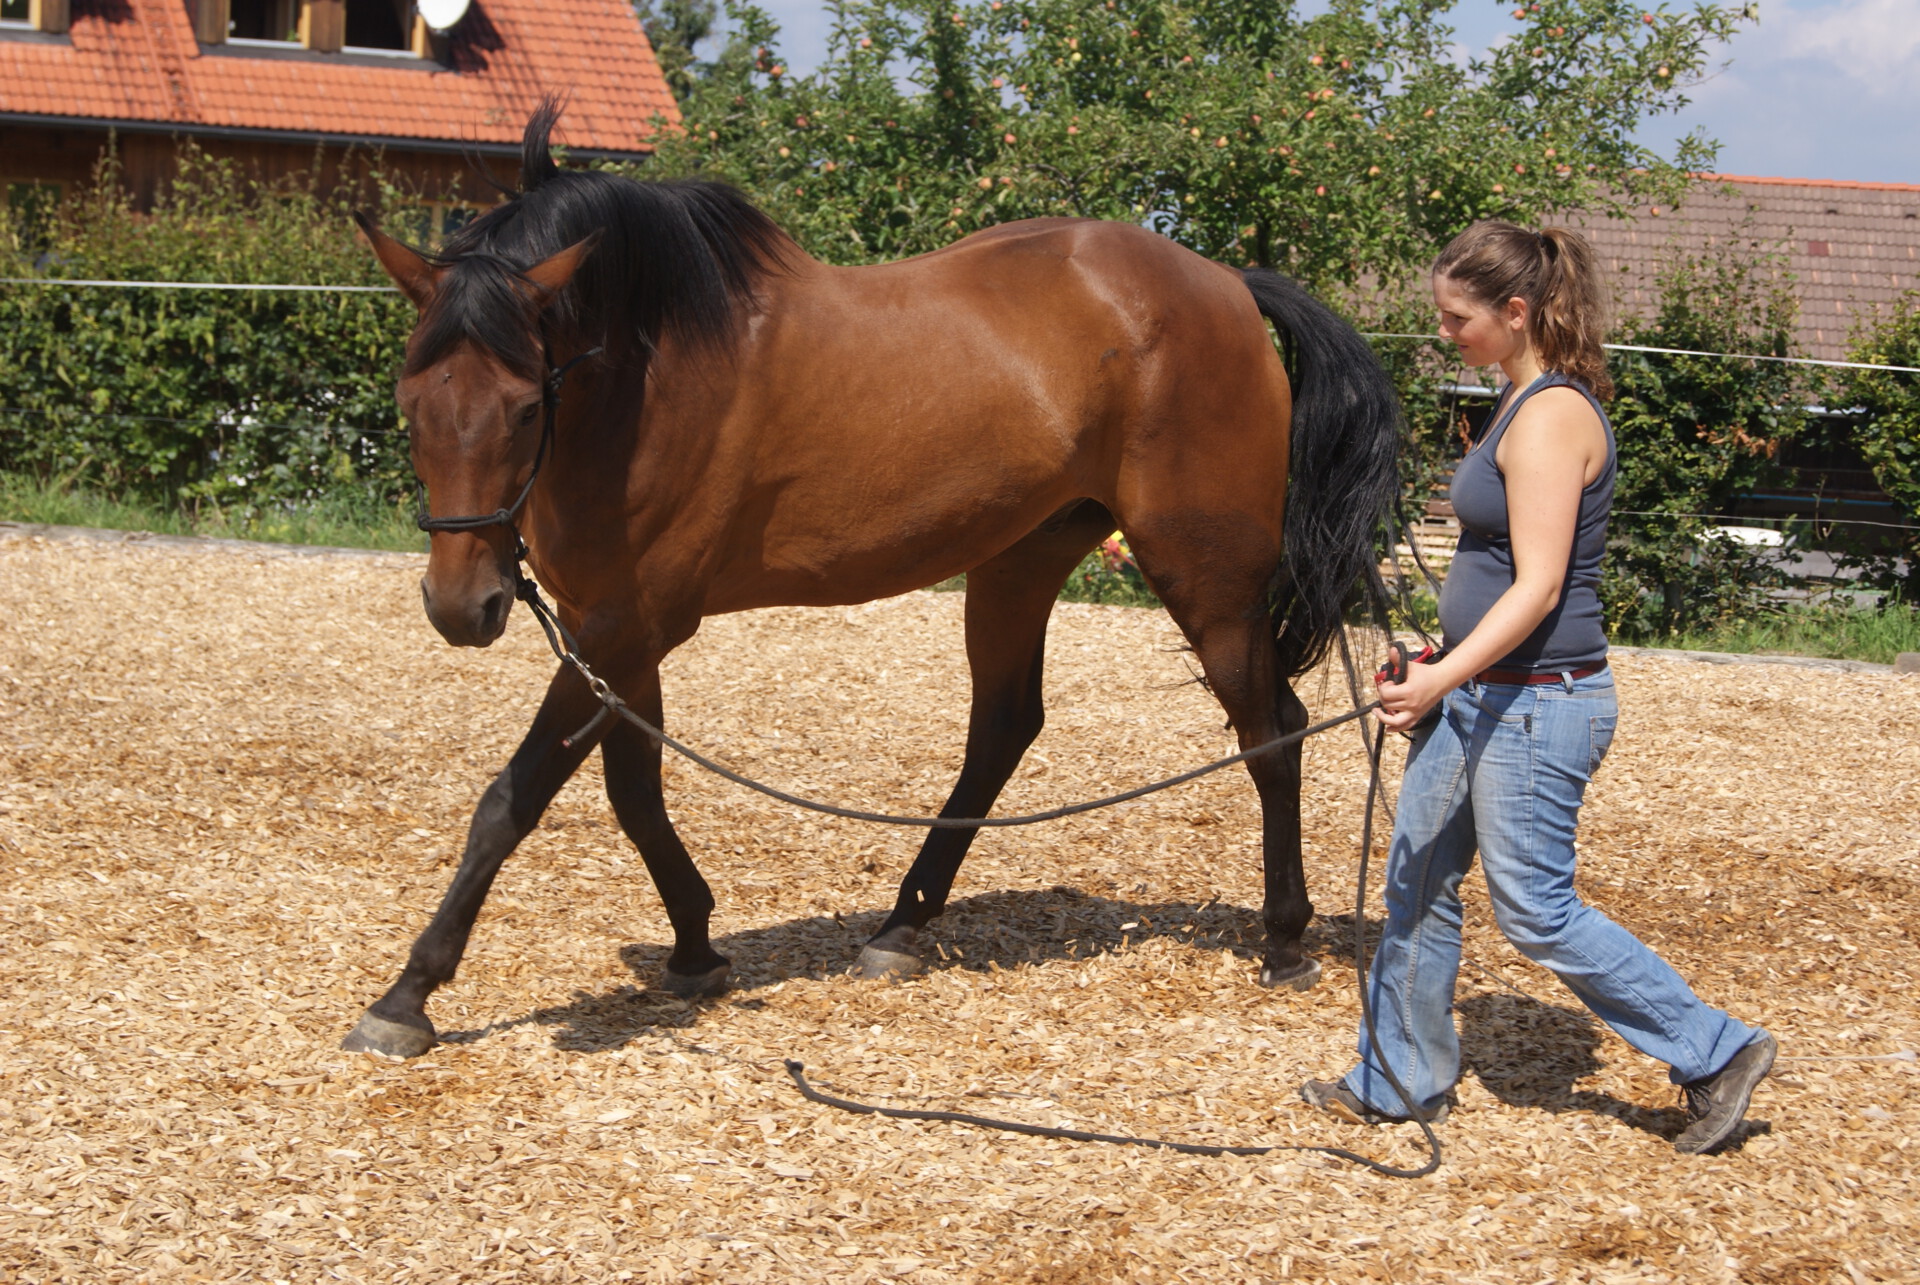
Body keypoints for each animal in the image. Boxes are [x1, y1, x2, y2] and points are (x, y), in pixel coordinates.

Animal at [340, 104, 1402, 1059]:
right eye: (410, 399)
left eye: (526, 405)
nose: (461, 605)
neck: (649, 375)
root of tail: (1227, 284)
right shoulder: (616, 633)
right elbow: (633, 791)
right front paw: (694, 944)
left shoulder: (621, 628)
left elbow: (512, 799)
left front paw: (408, 993)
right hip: (1021, 558)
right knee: (1004, 728)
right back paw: (902, 926)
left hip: (1205, 575)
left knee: (1270, 732)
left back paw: (1284, 940)